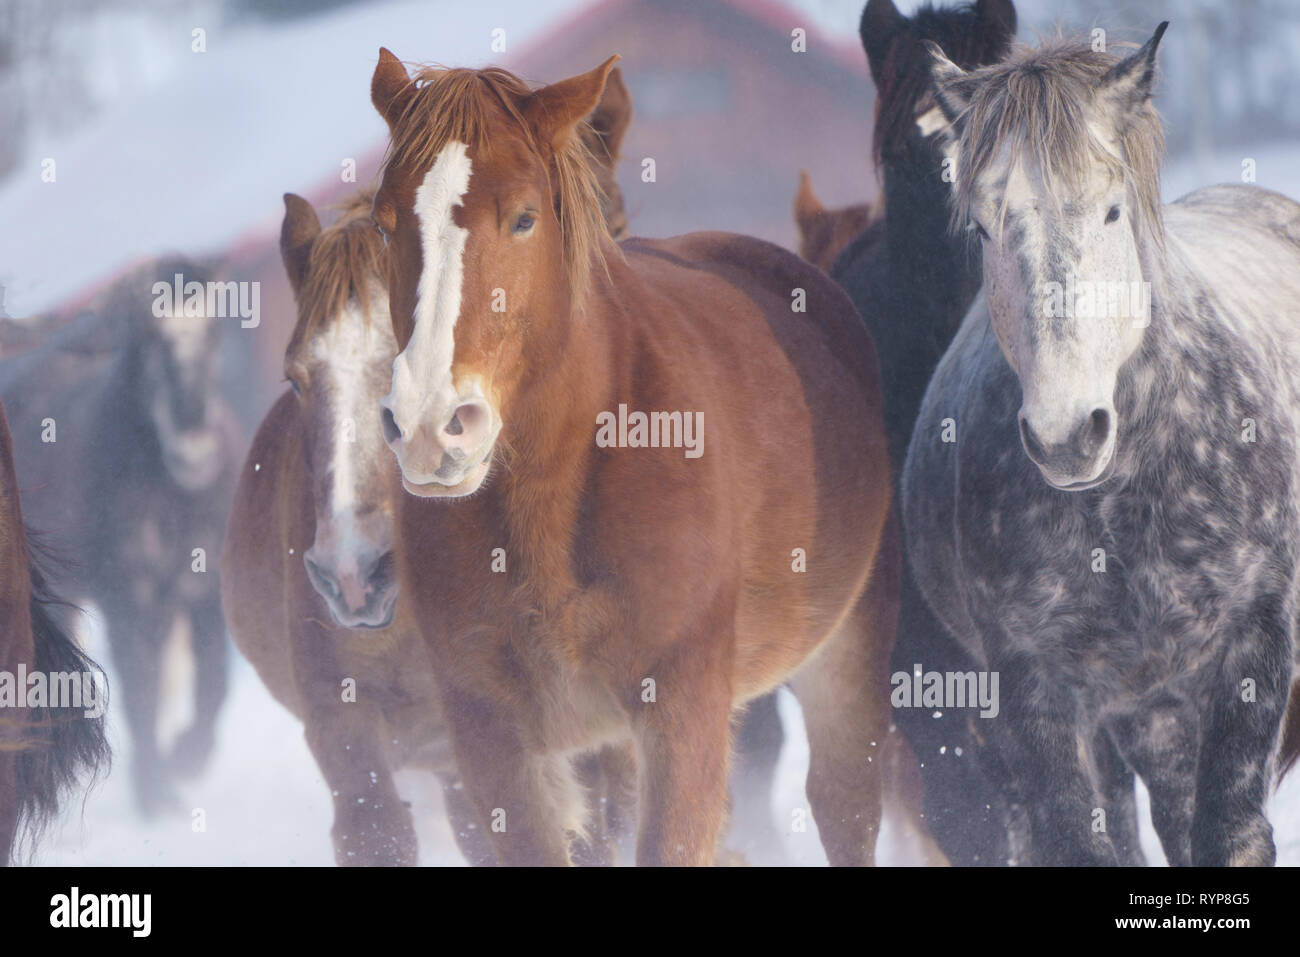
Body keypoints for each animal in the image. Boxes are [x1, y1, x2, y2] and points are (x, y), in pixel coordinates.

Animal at [0, 261, 241, 814]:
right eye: (150, 340)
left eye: (215, 334)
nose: (194, 448)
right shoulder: (129, 597)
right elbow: (140, 693)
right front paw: (156, 798)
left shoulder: (204, 592)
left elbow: (214, 685)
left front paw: (187, 759)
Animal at [367, 52, 894, 867]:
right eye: (385, 224)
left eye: (524, 217)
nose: (430, 425)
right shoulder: (494, 741)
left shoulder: (682, 712)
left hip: (844, 670)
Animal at [905, 23, 1300, 865]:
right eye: (983, 225)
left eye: (1113, 211)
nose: (1066, 435)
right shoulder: (1035, 682)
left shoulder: (1252, 642)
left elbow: (1231, 832)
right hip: (1139, 715)